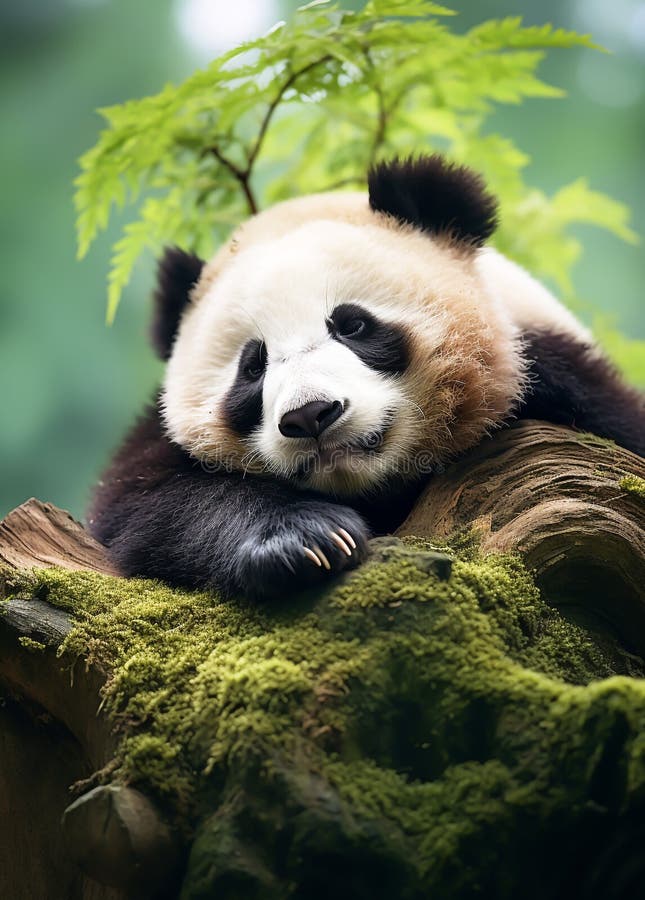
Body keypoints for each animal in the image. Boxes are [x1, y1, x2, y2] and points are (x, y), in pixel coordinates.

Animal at [89, 155, 645, 600]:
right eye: (253, 366)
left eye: (352, 325)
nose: (311, 415)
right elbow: (152, 504)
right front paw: (307, 540)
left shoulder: (569, 381)